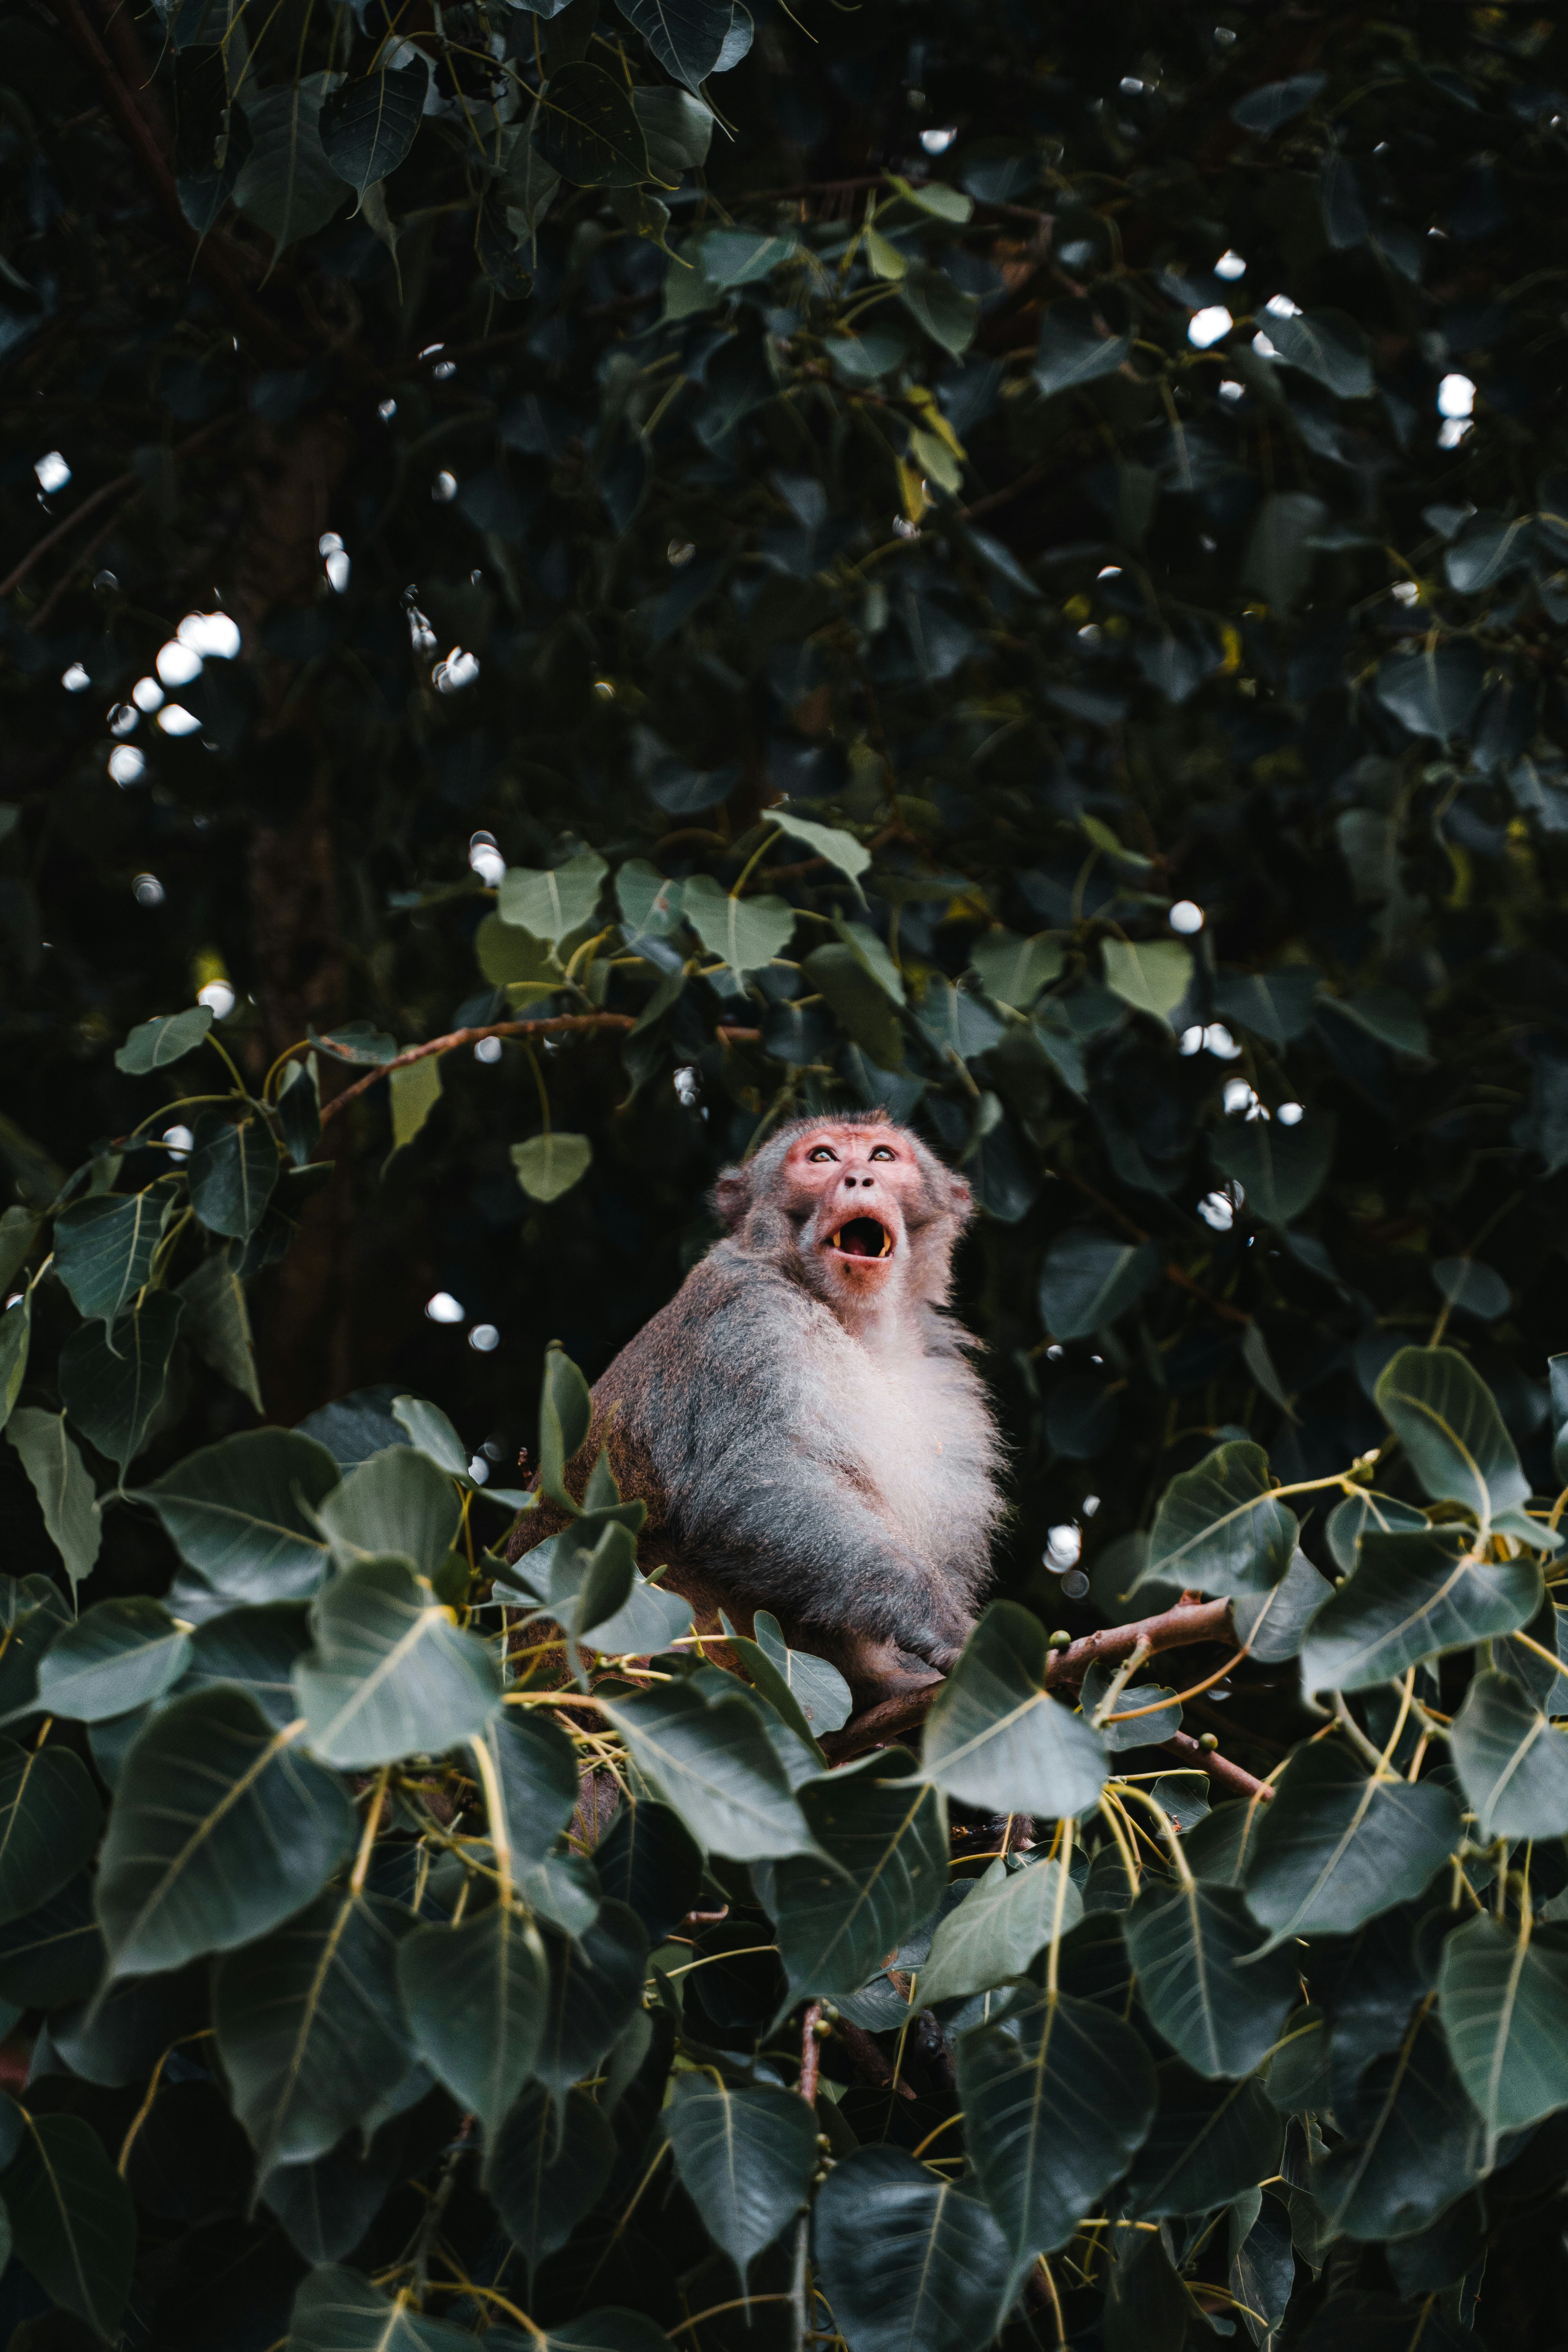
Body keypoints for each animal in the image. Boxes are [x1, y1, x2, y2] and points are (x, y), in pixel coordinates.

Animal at [508, 1109, 1004, 1702]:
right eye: (822, 1158)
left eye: (883, 1156)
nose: (860, 1178)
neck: (856, 1322)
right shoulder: (745, 1318)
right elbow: (752, 1481)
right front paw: (942, 1625)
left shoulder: (942, 1374)